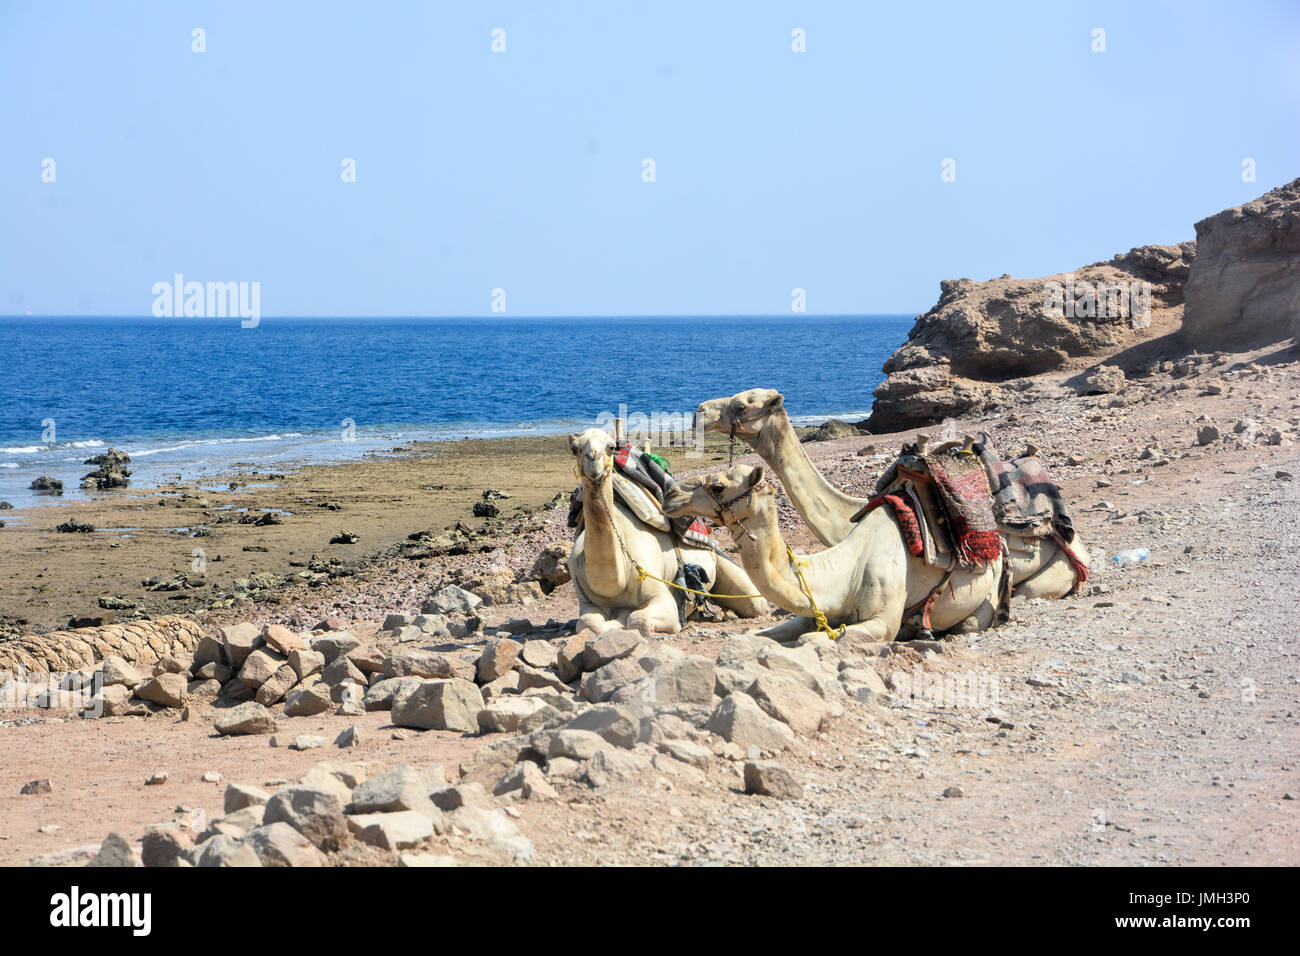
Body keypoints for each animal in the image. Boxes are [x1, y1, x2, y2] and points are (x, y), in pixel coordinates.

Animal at [567, 429, 768, 635]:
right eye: (574, 448)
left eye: (611, 447)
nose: (593, 460)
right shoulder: (588, 602)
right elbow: (588, 623)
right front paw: (615, 620)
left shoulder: (660, 596)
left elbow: (638, 619)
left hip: (721, 563)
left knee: (755, 602)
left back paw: (726, 613)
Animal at [661, 465, 1006, 643]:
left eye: (718, 487)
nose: (670, 493)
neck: (847, 571)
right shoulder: (816, 611)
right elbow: (759, 635)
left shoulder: (883, 621)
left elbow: (814, 639)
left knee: (971, 623)